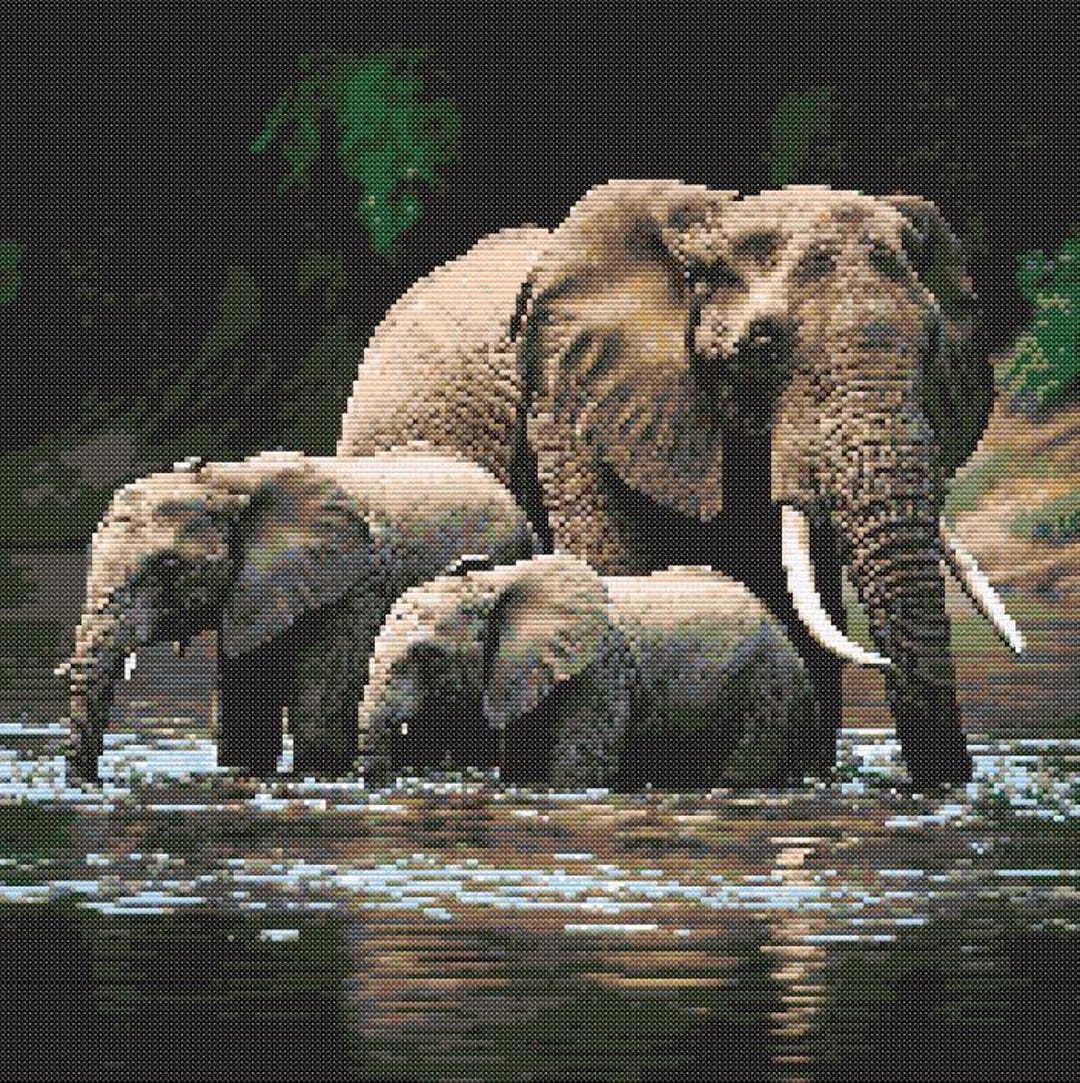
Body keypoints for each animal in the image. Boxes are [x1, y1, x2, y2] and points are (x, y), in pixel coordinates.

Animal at [56, 446, 538, 780]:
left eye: (168, 566)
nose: (92, 783)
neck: (230, 479)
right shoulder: (250, 597)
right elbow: (245, 714)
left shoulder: (352, 585)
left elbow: (319, 717)